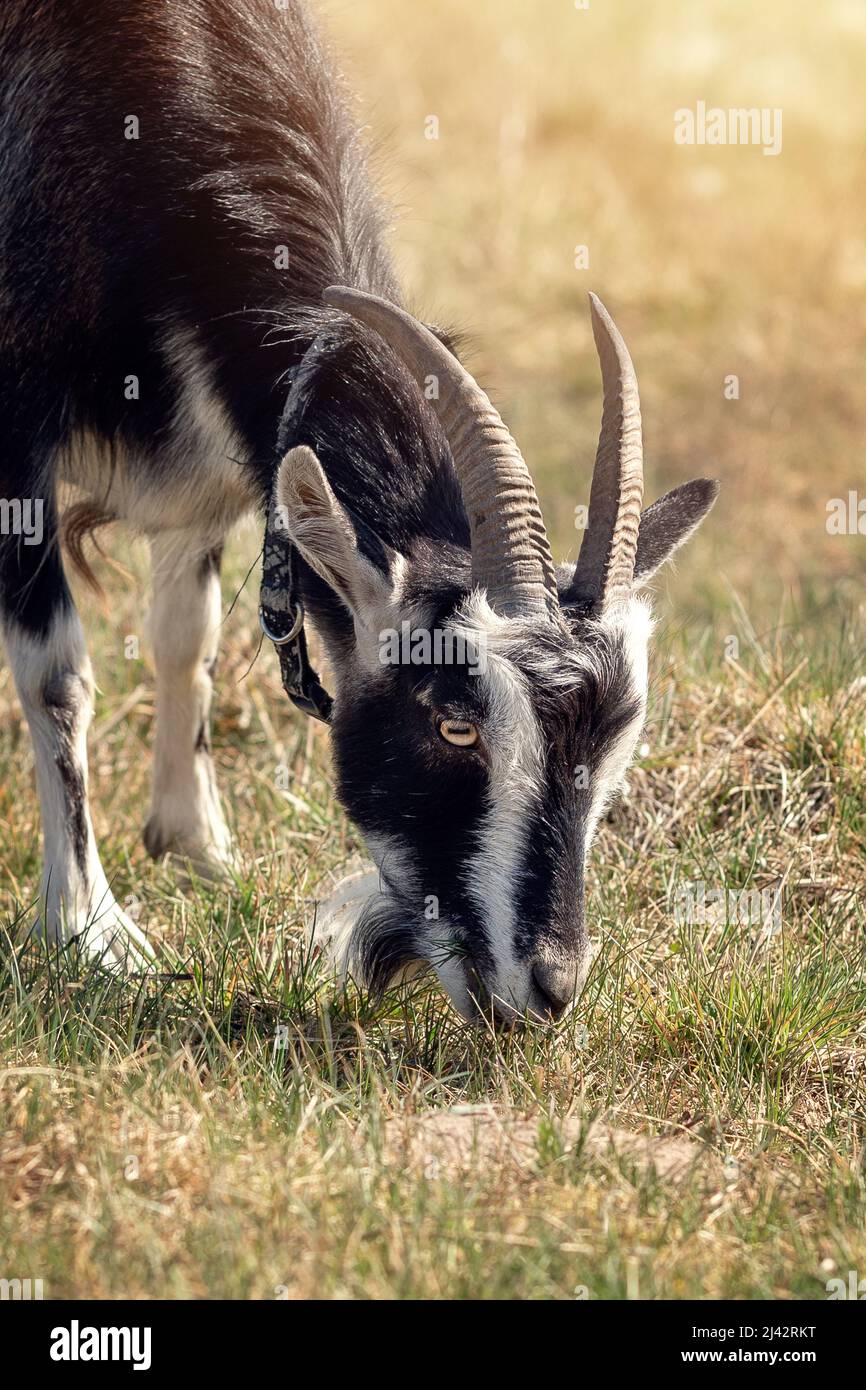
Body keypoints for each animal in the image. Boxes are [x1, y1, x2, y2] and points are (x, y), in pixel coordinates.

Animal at [0, 0, 717, 1021]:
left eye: (619, 736)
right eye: (453, 723)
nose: (548, 988)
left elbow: (187, 636)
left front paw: (196, 845)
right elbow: (59, 672)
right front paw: (90, 928)